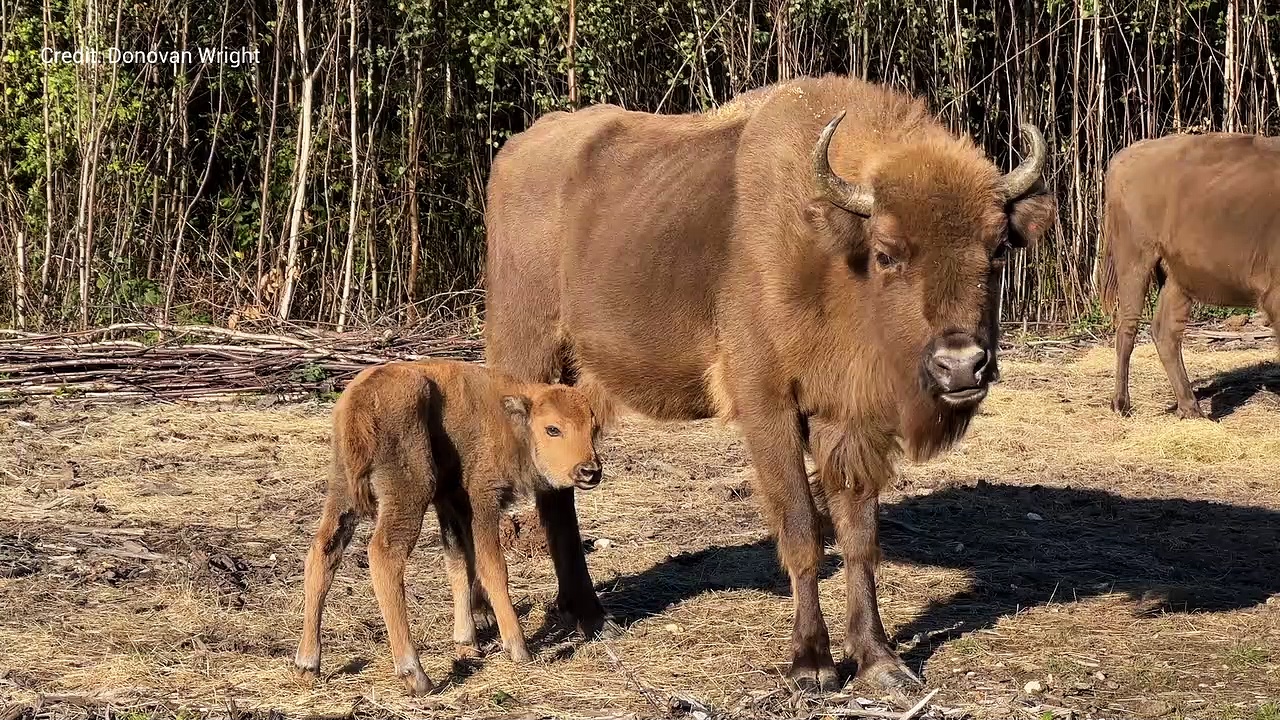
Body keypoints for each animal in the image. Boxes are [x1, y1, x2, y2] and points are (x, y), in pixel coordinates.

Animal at [293, 360, 603, 695]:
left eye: (593, 429)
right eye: (553, 429)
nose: (590, 471)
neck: (509, 418)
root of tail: (361, 396)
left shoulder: (450, 504)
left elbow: (458, 563)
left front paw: (467, 642)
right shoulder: (482, 499)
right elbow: (492, 567)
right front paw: (518, 648)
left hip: (342, 493)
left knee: (323, 553)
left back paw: (307, 665)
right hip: (408, 494)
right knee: (384, 557)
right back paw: (416, 676)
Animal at [481, 74, 1056, 691]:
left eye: (997, 249)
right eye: (887, 253)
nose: (962, 365)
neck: (828, 251)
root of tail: (515, 153)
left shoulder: (844, 419)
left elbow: (858, 536)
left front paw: (879, 660)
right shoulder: (768, 407)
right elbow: (803, 531)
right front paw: (813, 664)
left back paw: (588, 614)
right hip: (528, 362)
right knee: (548, 488)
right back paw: (585, 615)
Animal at [1100, 132, 1280, 419]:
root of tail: (1124, 156)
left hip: (1176, 278)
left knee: (1166, 332)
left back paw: (1191, 409)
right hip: (1135, 258)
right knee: (1127, 326)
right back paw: (1121, 404)